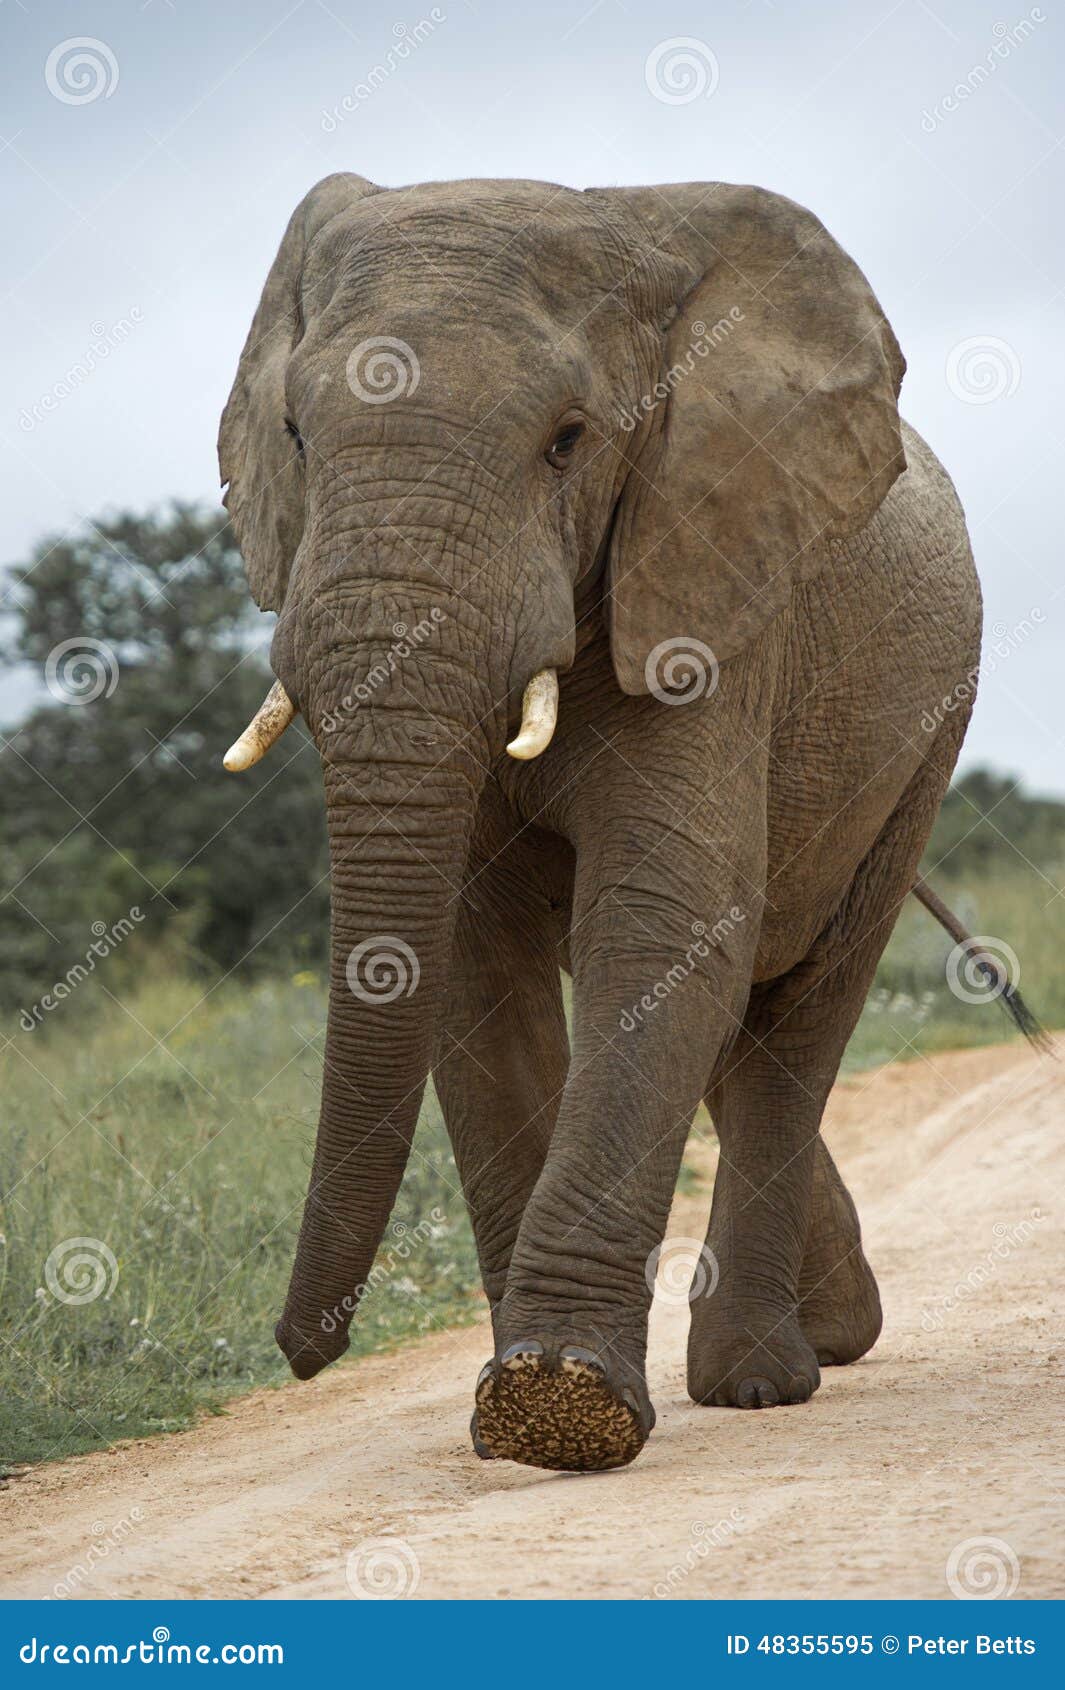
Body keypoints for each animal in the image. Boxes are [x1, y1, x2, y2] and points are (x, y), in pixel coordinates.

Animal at [218, 172, 996, 1473]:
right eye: (296, 438)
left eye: (568, 441)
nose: (301, 1350)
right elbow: (477, 963)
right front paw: (526, 1405)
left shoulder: (712, 587)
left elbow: (661, 915)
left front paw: (558, 1403)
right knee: (730, 1010)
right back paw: (834, 1332)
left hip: (927, 732)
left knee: (803, 1003)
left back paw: (759, 1377)